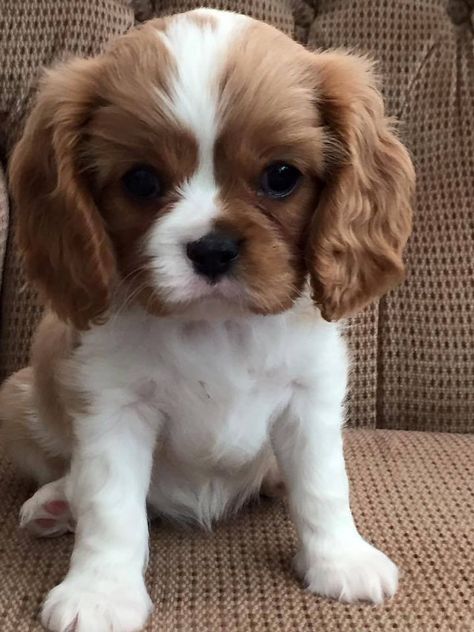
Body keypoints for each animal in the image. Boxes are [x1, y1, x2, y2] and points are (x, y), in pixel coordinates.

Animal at [0, 8, 414, 632]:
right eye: (140, 181)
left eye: (281, 176)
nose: (213, 249)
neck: (217, 326)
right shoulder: (112, 405)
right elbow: (110, 505)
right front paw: (100, 592)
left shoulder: (310, 397)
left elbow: (323, 484)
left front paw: (340, 560)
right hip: (18, 398)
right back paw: (56, 501)